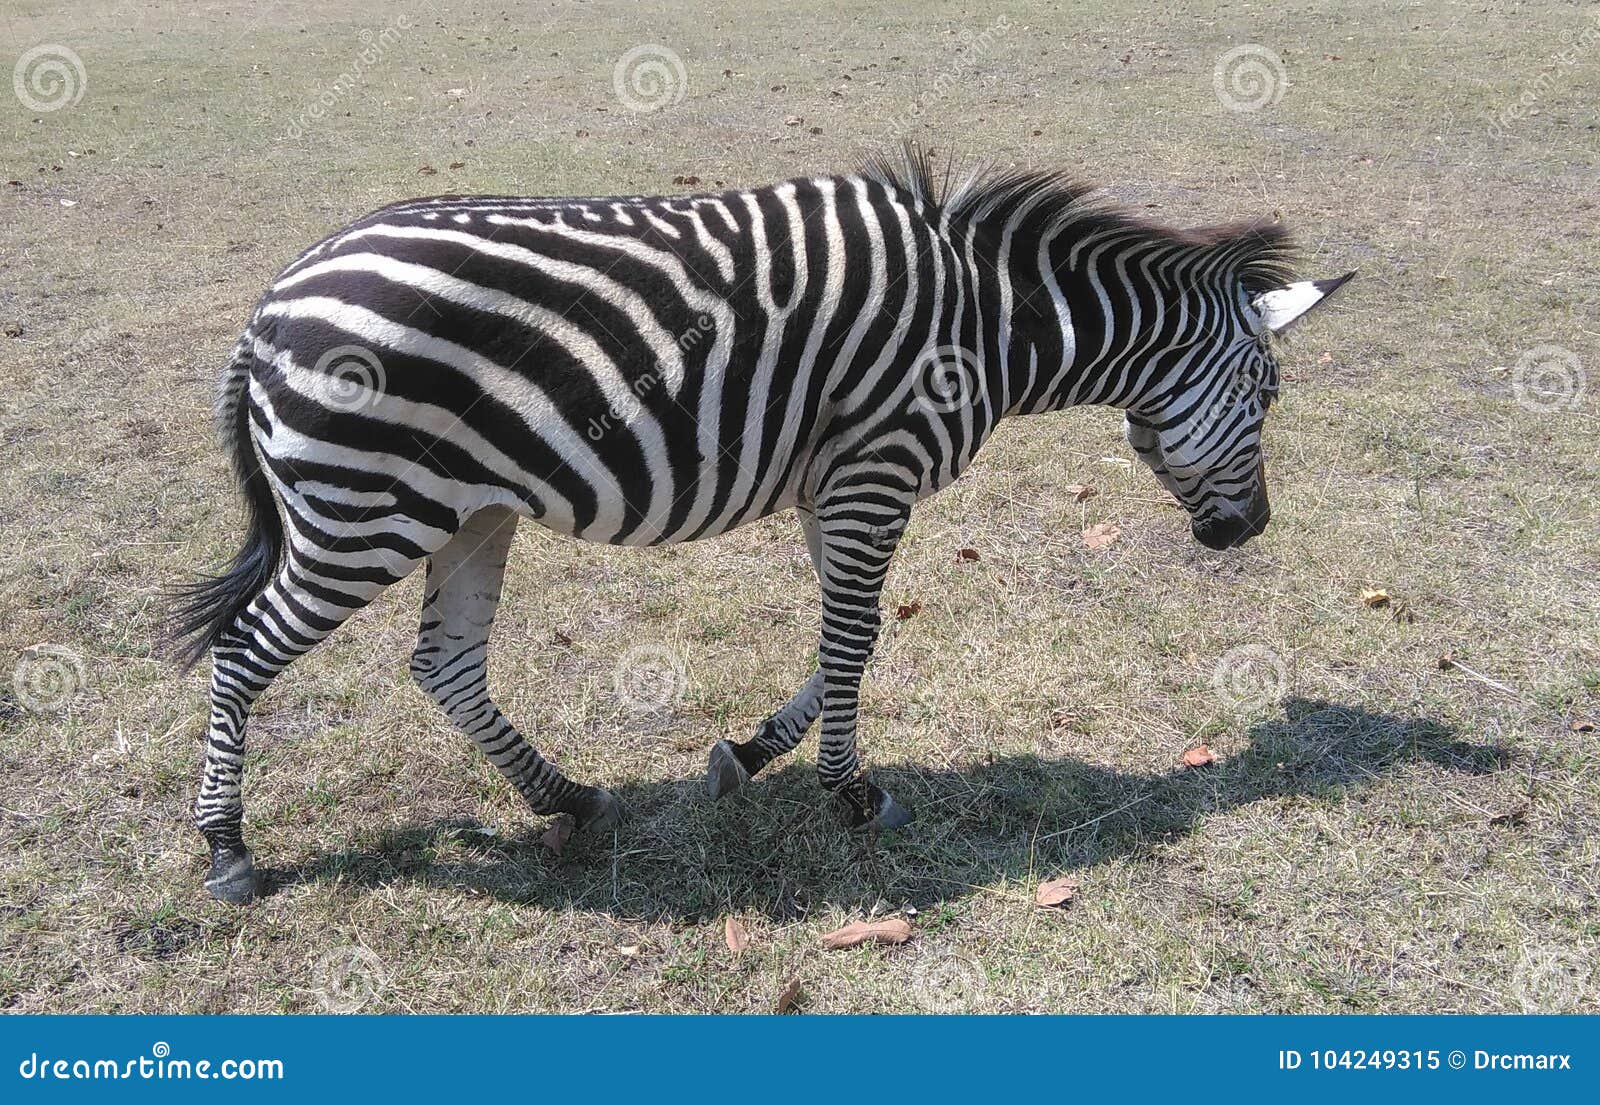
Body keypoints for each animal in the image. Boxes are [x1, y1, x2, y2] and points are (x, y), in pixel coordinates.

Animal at [168, 145, 1352, 904]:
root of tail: (273, 298)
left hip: (467, 509)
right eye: (1269, 395)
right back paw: (226, 847)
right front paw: (851, 793)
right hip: (362, 514)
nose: (1246, 532)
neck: (990, 322)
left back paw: (567, 796)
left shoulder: (838, 482)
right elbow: (855, 638)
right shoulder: (878, 466)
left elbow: (839, 643)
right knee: (243, 651)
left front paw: (747, 754)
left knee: (444, 664)